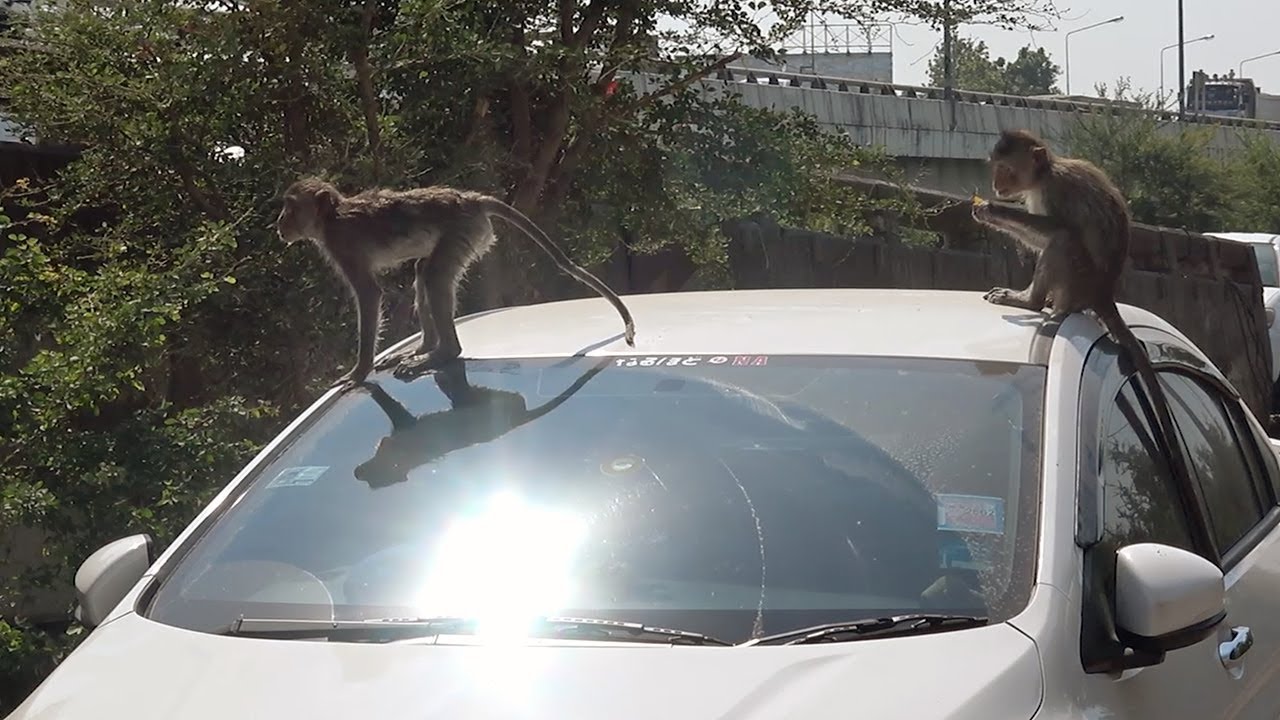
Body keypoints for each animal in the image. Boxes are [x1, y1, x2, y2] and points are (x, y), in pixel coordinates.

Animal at [275, 177, 636, 387]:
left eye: (290, 208)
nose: (279, 223)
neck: (331, 218)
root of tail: (470, 199)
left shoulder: (342, 244)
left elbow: (369, 293)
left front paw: (359, 371)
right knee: (424, 271)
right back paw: (426, 347)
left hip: (464, 229)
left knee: (434, 275)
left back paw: (443, 353)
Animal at [351, 358, 608, 488]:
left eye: (376, 478)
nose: (357, 473)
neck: (401, 459)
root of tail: (518, 419)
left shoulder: (406, 433)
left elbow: (394, 409)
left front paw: (367, 385)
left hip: (488, 402)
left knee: (475, 393)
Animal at [970, 128, 1194, 494]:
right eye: (997, 167)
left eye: (1007, 169)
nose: (996, 184)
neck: (1045, 173)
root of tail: (1103, 293)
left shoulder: (1054, 190)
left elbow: (1054, 229)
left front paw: (993, 210)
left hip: (1078, 278)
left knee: (1063, 239)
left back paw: (1030, 301)